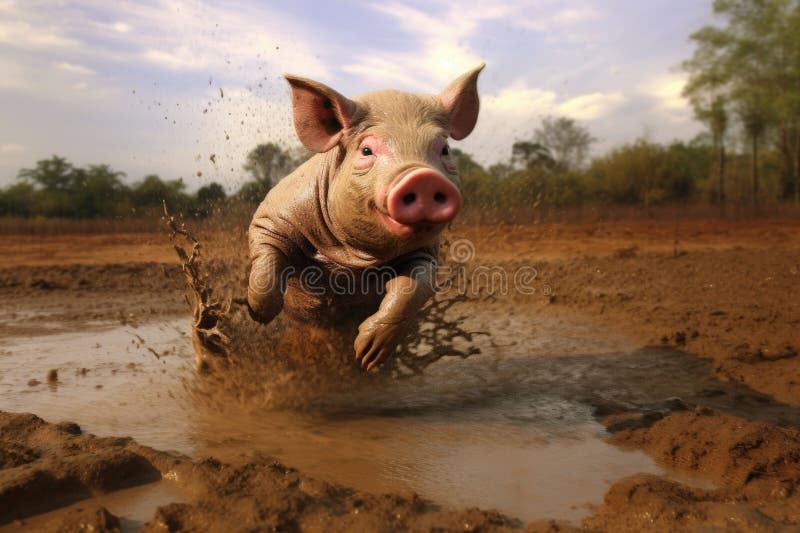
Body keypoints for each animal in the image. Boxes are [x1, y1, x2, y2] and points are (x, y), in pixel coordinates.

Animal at [247, 64, 485, 371]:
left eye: (444, 149)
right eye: (366, 150)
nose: (423, 177)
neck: (353, 259)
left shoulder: (426, 254)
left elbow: (415, 287)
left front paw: (367, 355)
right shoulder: (273, 215)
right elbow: (267, 254)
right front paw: (259, 313)